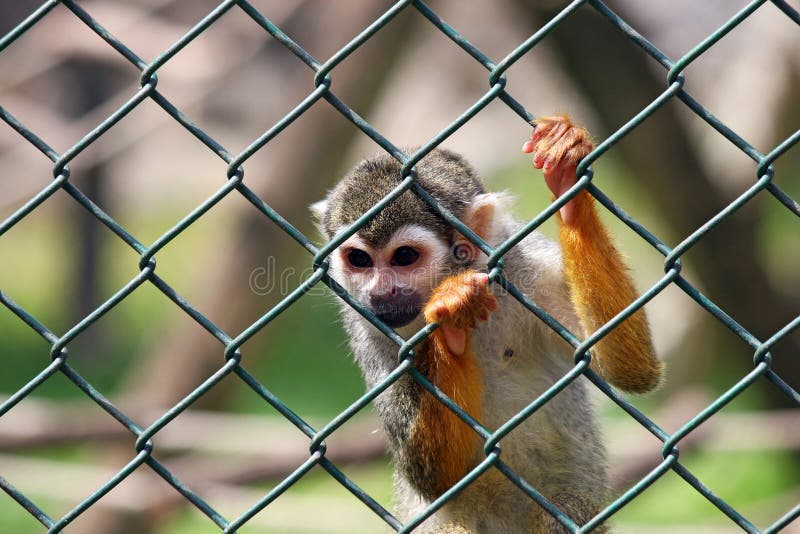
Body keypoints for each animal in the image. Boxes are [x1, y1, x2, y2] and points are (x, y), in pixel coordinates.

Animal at [311, 116, 662, 533]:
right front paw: (450, 311)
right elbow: (435, 477)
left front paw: (568, 185)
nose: (381, 293)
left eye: (405, 257)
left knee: (564, 508)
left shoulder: (522, 265)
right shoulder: (365, 326)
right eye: (360, 260)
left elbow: (630, 368)